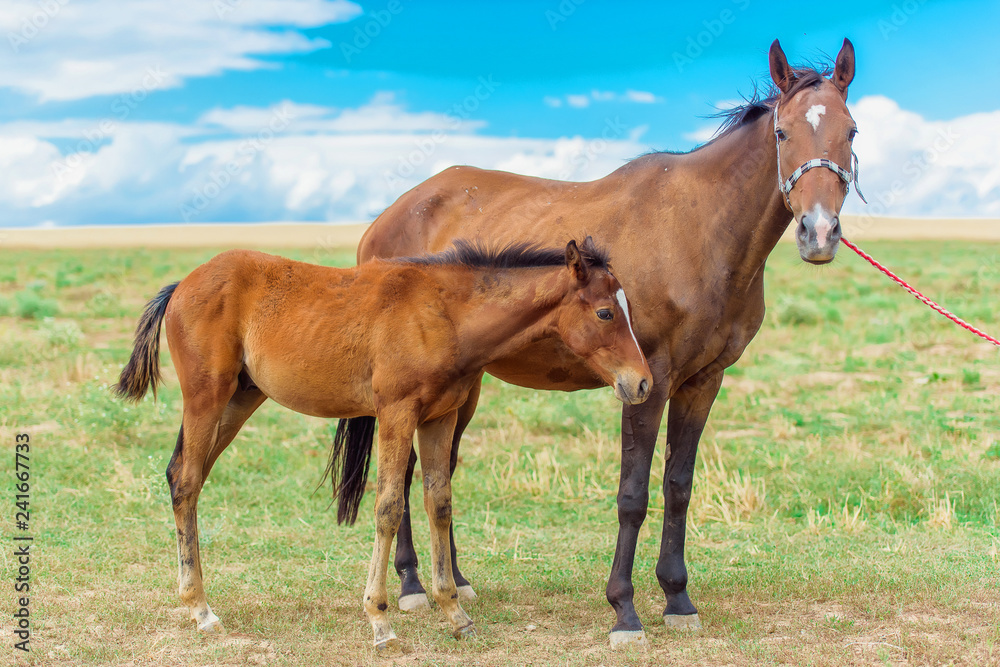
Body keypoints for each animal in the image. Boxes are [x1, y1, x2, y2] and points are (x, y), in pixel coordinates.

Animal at [115, 239, 651, 650]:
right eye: (605, 312)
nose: (642, 383)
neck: (446, 315)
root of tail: (182, 285)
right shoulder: (396, 412)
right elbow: (390, 506)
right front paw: (379, 620)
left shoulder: (439, 418)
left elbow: (439, 502)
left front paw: (454, 613)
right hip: (206, 397)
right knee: (186, 480)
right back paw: (201, 609)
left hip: (240, 398)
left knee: (185, 476)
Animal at [356, 38, 864, 645]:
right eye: (783, 133)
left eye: (851, 131)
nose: (819, 232)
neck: (700, 228)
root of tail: (386, 220)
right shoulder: (649, 380)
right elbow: (633, 495)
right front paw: (624, 608)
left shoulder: (702, 382)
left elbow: (678, 486)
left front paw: (678, 597)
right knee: (410, 471)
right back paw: (411, 586)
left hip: (462, 387)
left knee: (439, 472)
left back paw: (452, 581)